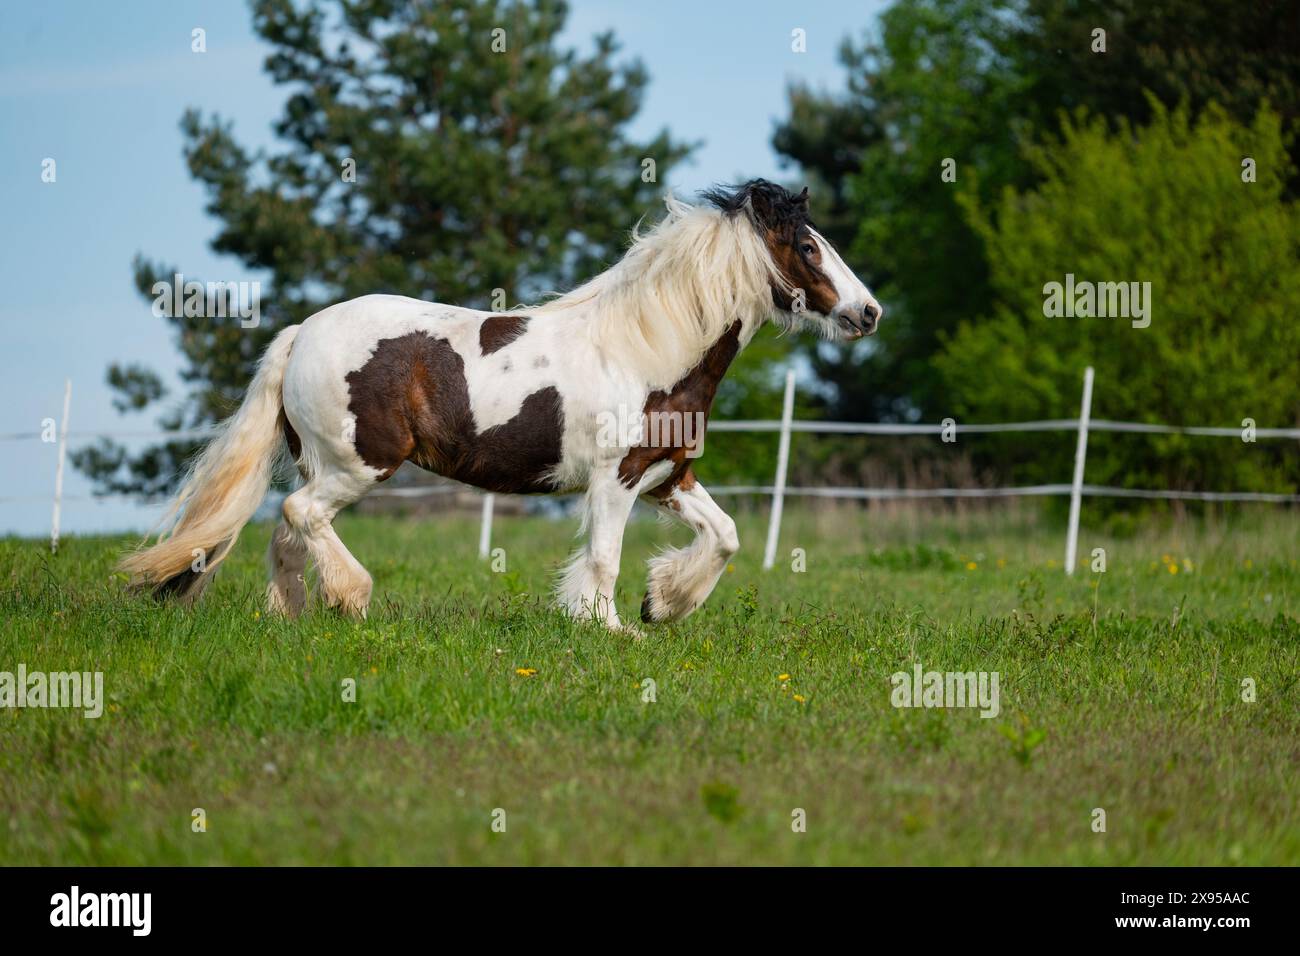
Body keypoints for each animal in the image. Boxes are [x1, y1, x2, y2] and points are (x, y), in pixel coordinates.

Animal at [121, 180, 882, 629]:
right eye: (809, 247)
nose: (869, 313)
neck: (647, 349)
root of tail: (301, 331)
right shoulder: (616, 478)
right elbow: (604, 559)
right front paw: (609, 628)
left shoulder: (669, 476)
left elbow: (725, 537)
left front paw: (661, 604)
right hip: (357, 465)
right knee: (300, 516)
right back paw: (352, 599)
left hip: (323, 464)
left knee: (286, 531)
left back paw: (292, 618)